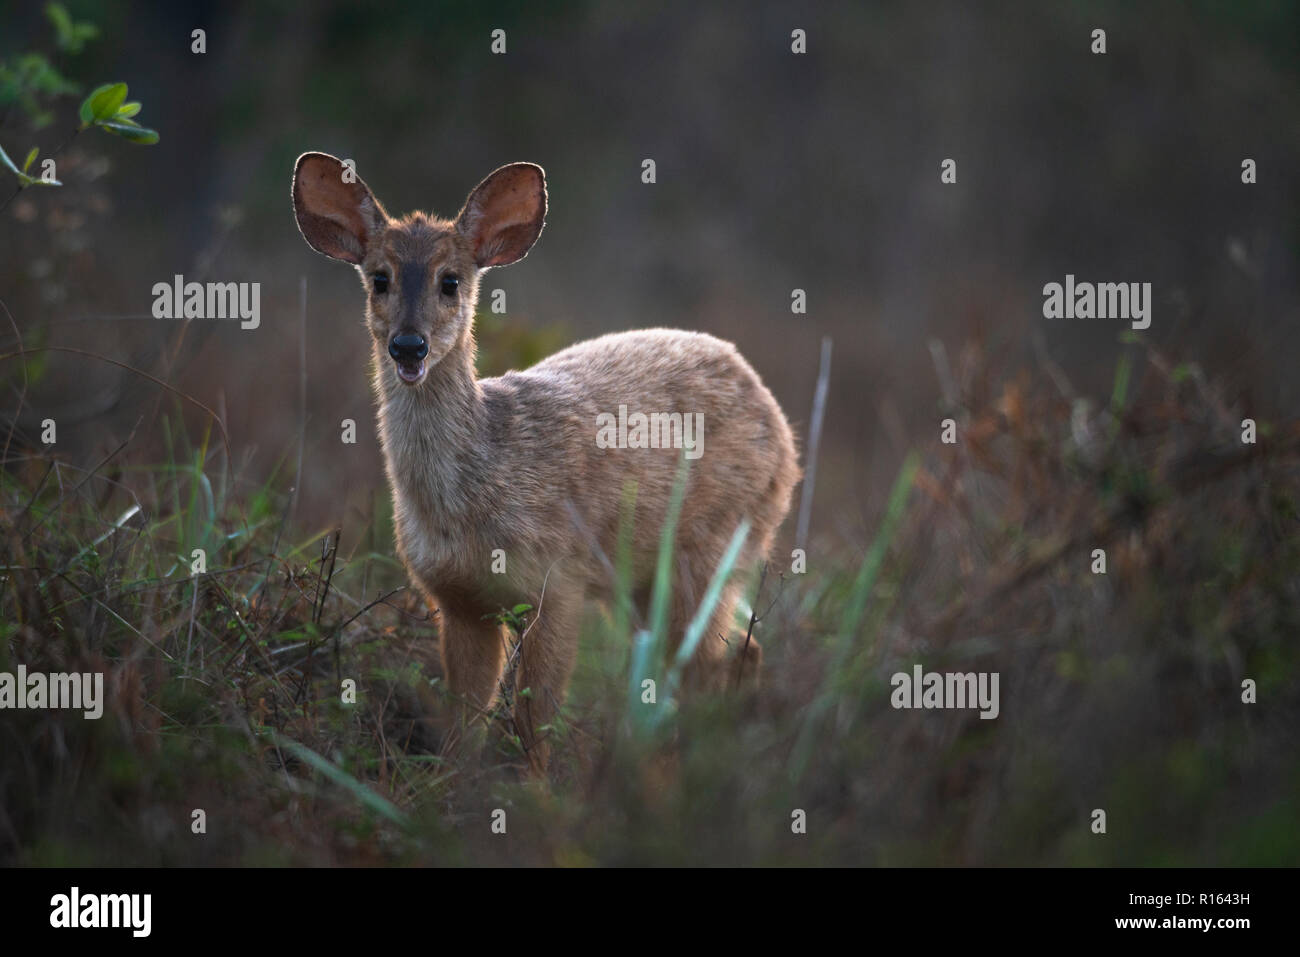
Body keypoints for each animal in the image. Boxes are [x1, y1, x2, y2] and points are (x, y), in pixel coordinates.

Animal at [291, 153, 799, 773]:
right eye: (378, 278)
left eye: (450, 281)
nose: (409, 346)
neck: (470, 494)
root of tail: (782, 430)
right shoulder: (456, 599)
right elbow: (466, 716)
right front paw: (452, 783)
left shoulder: (559, 581)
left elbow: (536, 716)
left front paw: (540, 789)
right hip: (644, 579)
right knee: (735, 652)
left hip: (709, 547)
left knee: (708, 664)